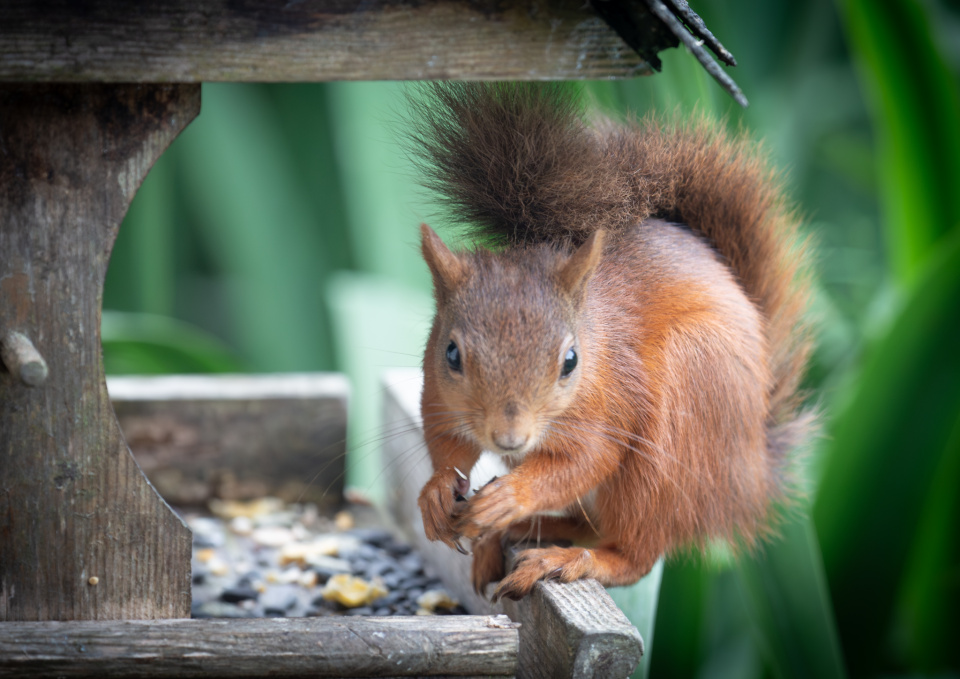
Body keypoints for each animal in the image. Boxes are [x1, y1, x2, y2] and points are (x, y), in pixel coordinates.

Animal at [410, 83, 815, 601]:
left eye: (570, 361)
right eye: (452, 354)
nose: (509, 439)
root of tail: (750, 478)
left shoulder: (611, 404)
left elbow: (587, 461)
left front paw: (508, 498)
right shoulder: (438, 393)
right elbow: (444, 439)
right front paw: (437, 492)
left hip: (671, 441)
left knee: (633, 553)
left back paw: (563, 557)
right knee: (594, 526)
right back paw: (516, 535)